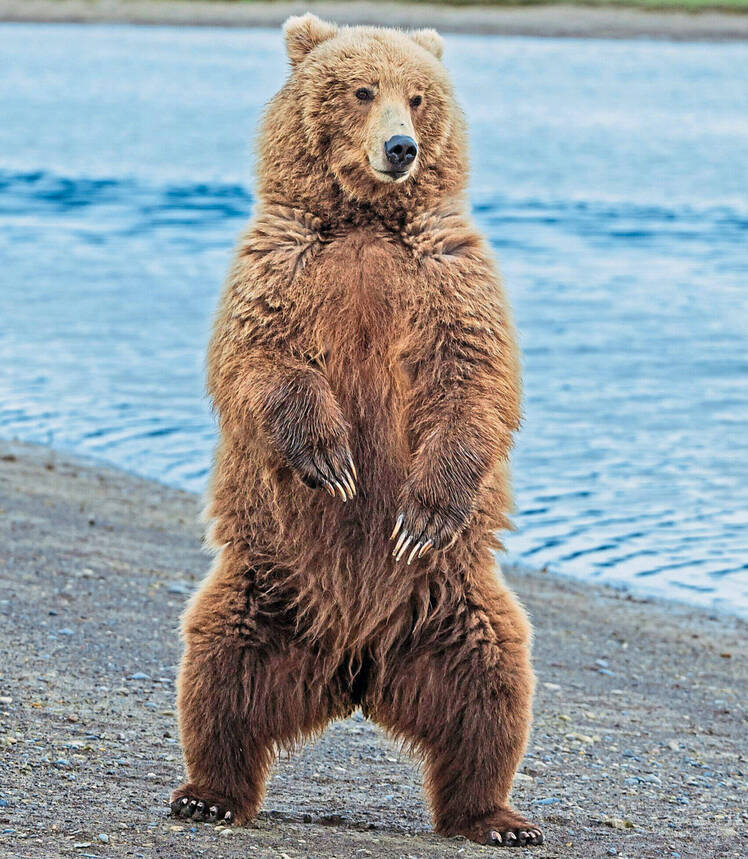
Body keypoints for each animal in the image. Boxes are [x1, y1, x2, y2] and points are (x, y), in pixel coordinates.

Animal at [170, 13, 542, 849]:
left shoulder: (449, 274)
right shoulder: (280, 265)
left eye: (418, 95)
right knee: (218, 674)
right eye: (363, 89)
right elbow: (262, 360)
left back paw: (497, 817)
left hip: (456, 599)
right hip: (259, 582)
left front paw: (421, 513)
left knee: (493, 689)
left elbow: (474, 381)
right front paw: (334, 459)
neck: (368, 221)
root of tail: (356, 664)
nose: (400, 147)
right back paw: (208, 793)